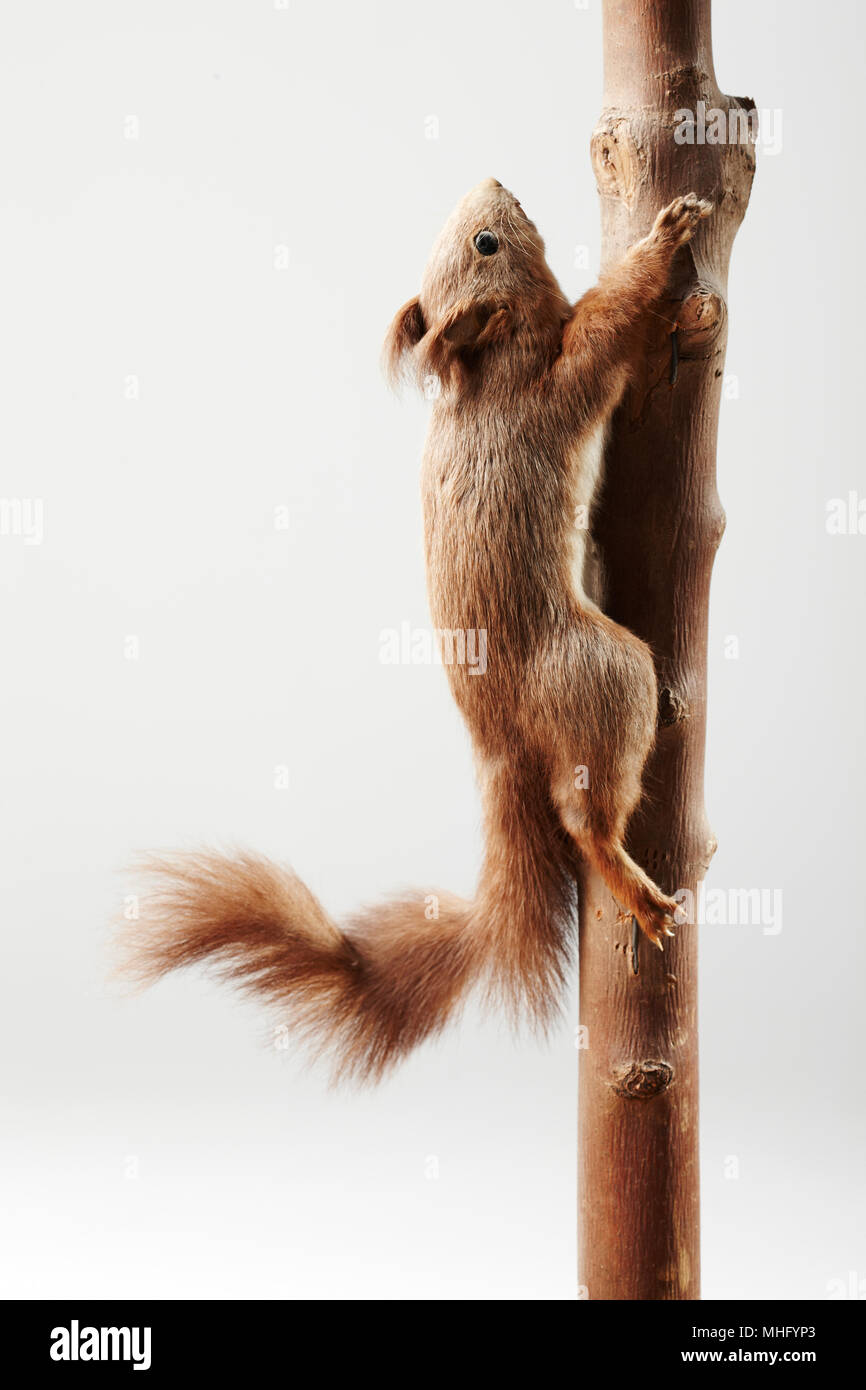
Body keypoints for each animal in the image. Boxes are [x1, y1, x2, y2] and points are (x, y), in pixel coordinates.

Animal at [121, 180, 712, 1082]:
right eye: (485, 244)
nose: (496, 182)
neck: (485, 371)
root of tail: (501, 743)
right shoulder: (553, 389)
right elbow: (602, 327)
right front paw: (662, 240)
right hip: (598, 672)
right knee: (585, 814)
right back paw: (636, 888)